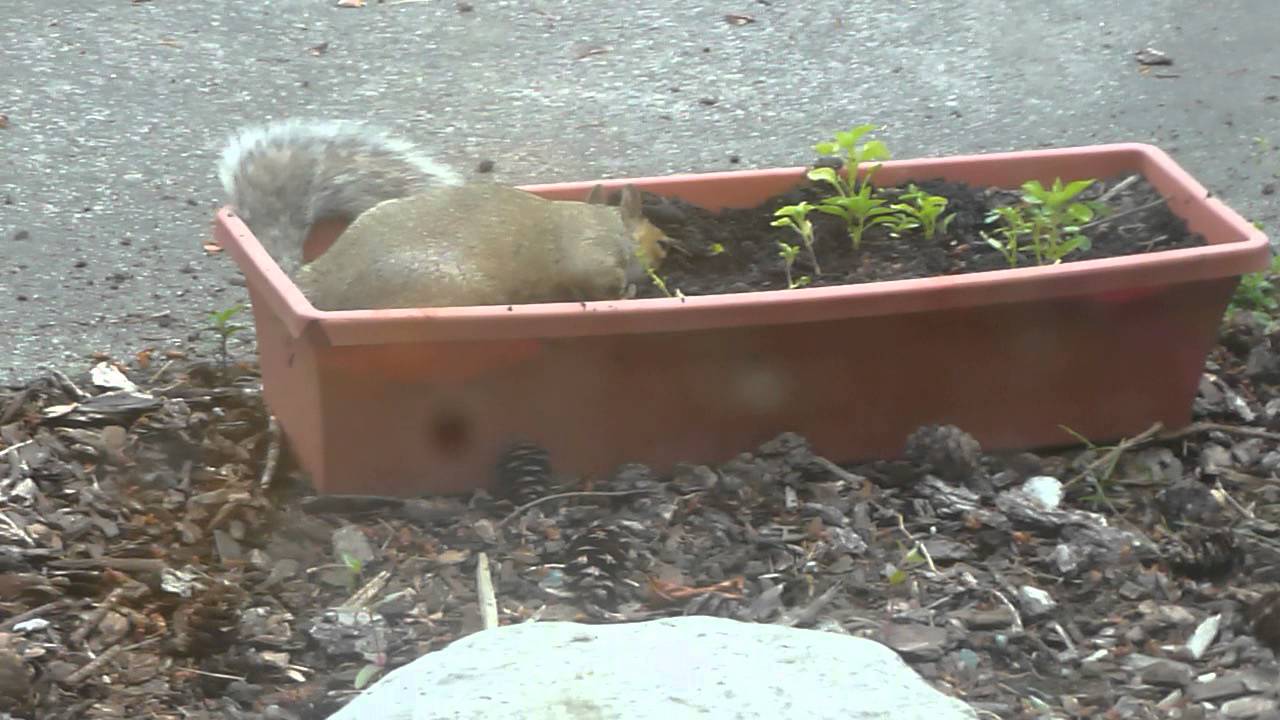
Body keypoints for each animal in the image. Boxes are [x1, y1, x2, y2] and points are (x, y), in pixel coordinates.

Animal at [217, 119, 670, 310]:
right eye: (661, 240)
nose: (665, 258)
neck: (601, 222)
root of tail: (312, 284)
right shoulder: (593, 260)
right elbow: (600, 284)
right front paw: (629, 292)